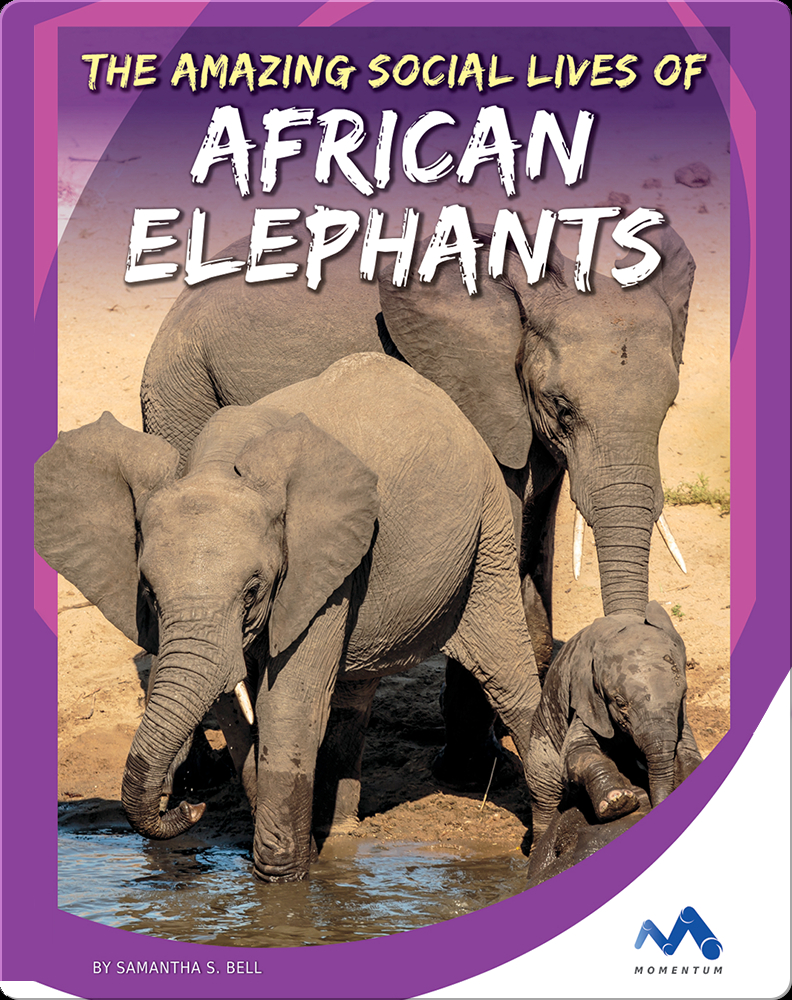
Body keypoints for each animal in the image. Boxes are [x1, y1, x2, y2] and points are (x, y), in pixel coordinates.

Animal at [35, 353, 542, 881]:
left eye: (254, 589)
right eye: (150, 593)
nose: (190, 807)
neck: (219, 466)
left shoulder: (322, 568)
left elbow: (286, 703)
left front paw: (280, 881)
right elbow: (235, 709)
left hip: (489, 526)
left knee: (507, 674)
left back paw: (545, 841)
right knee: (350, 696)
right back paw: (336, 833)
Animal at [140, 219, 695, 779]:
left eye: (671, 405)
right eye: (562, 407)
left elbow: (534, 553)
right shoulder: (474, 400)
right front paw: (472, 771)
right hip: (182, 392)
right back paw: (197, 777)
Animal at [525, 601, 702, 843]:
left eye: (683, 694)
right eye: (620, 703)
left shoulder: (679, 718)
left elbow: (687, 751)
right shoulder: (585, 699)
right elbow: (578, 754)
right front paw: (618, 802)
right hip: (539, 749)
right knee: (545, 796)